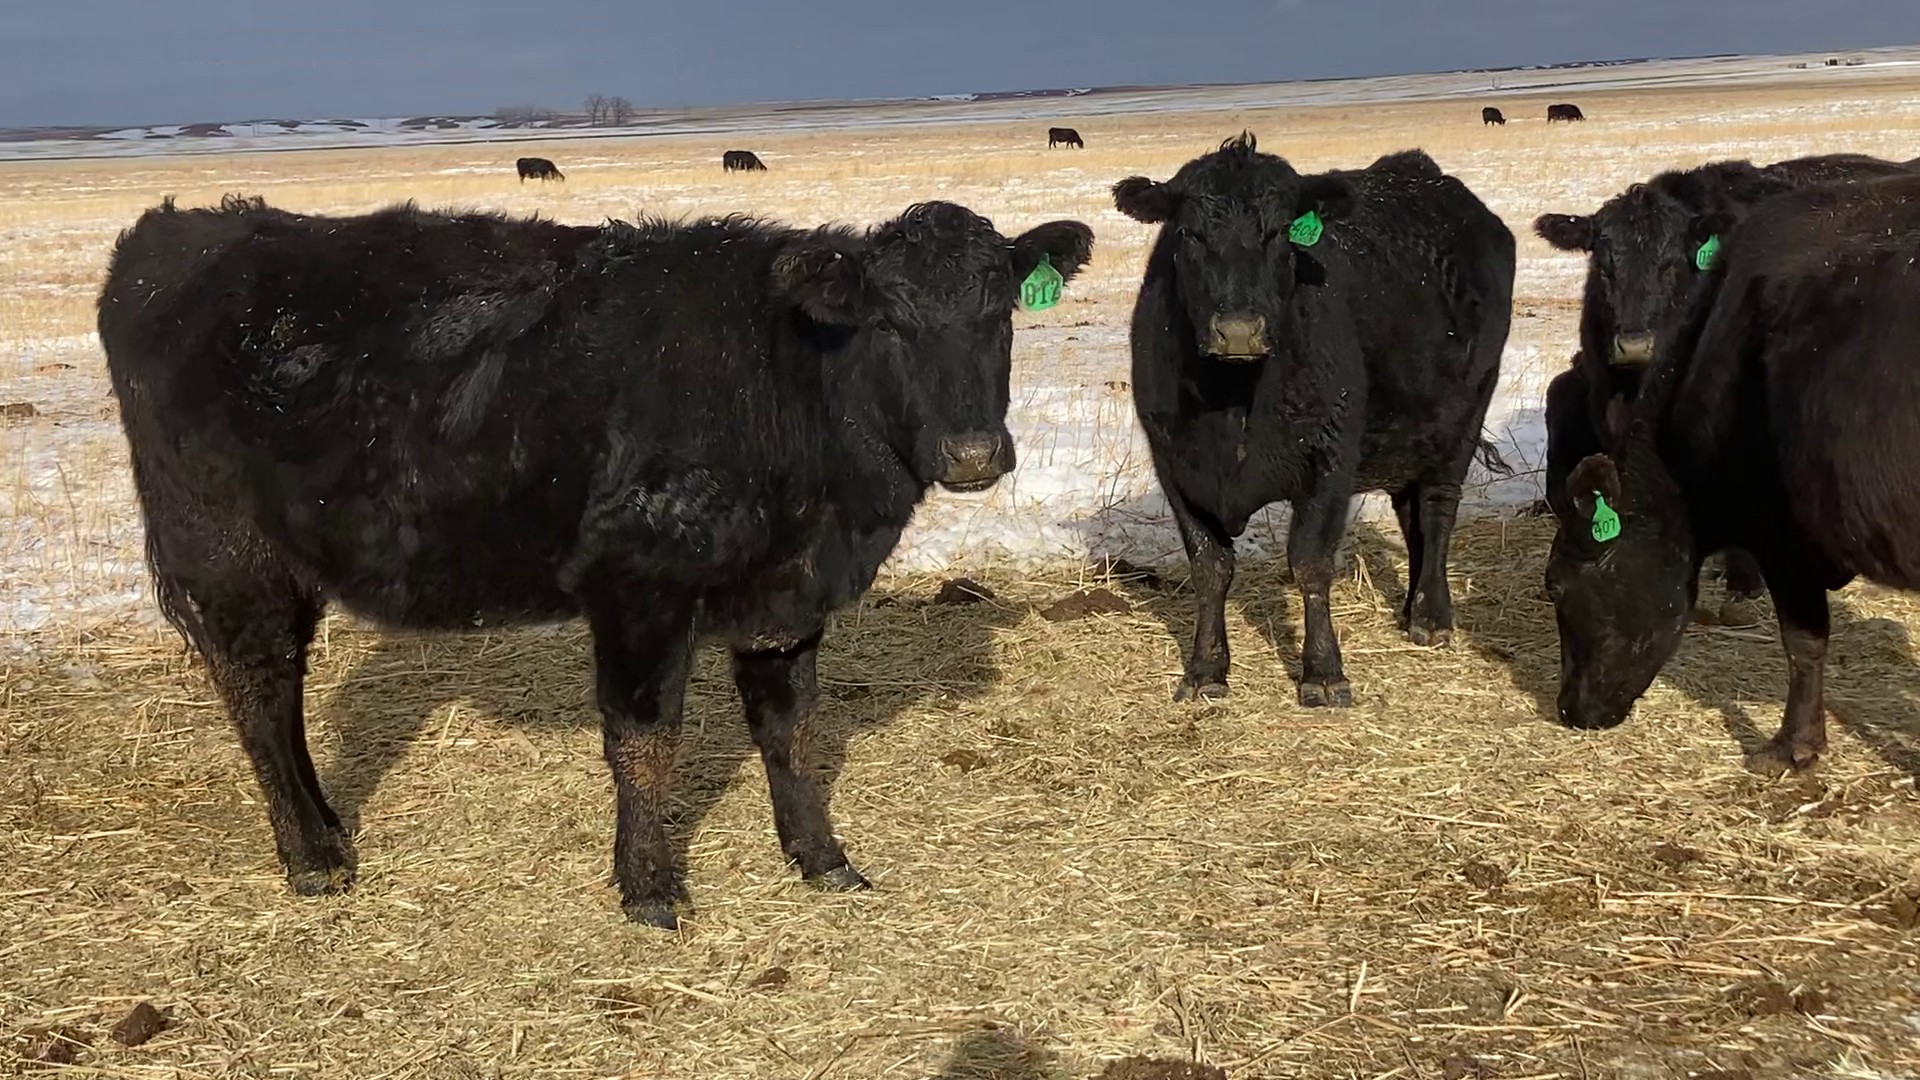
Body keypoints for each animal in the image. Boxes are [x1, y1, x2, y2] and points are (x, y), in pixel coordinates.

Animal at [96, 193, 1094, 928]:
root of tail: (179, 231)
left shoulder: (785, 596)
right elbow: (645, 739)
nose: (972, 453)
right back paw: (311, 858)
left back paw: (332, 828)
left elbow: (792, 729)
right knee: (260, 690)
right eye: (889, 322)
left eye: (1003, 312)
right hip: (226, 554)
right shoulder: (639, 584)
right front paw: (650, 890)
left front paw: (821, 859)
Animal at [1112, 135, 1514, 707]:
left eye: (1281, 232)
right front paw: (1205, 669)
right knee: (1411, 513)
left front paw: (1323, 672)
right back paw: (1411, 606)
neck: (1233, 408)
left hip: (1465, 414)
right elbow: (1210, 568)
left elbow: (1309, 562)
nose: (1239, 330)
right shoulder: (1174, 464)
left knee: (1438, 511)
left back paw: (1432, 616)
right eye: (1188, 232)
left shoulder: (1332, 457)